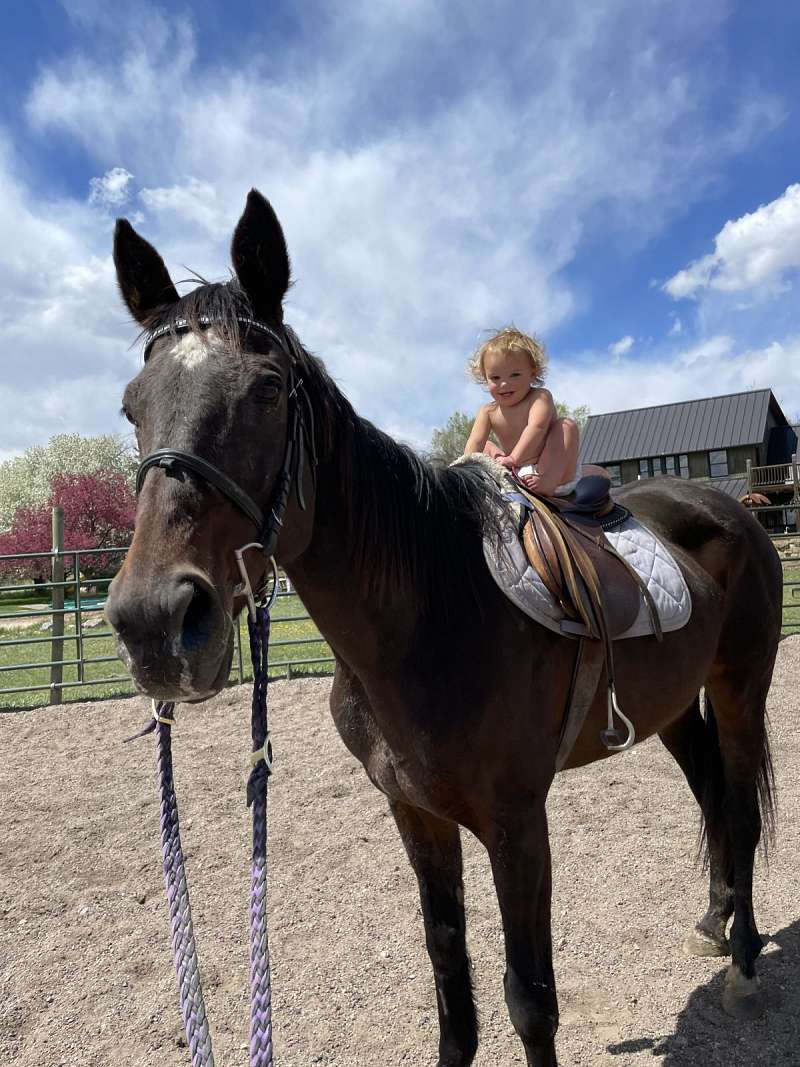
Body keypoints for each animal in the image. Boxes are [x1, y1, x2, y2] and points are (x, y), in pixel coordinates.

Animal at [105, 190, 782, 1067]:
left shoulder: (518, 823)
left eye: (266, 389)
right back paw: (714, 921)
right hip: (670, 706)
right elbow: (449, 974)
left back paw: (744, 964)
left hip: (740, 687)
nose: (154, 620)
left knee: (740, 806)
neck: (427, 619)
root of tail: (739, 508)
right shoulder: (416, 813)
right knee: (711, 796)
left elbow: (530, 999)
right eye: (132, 406)